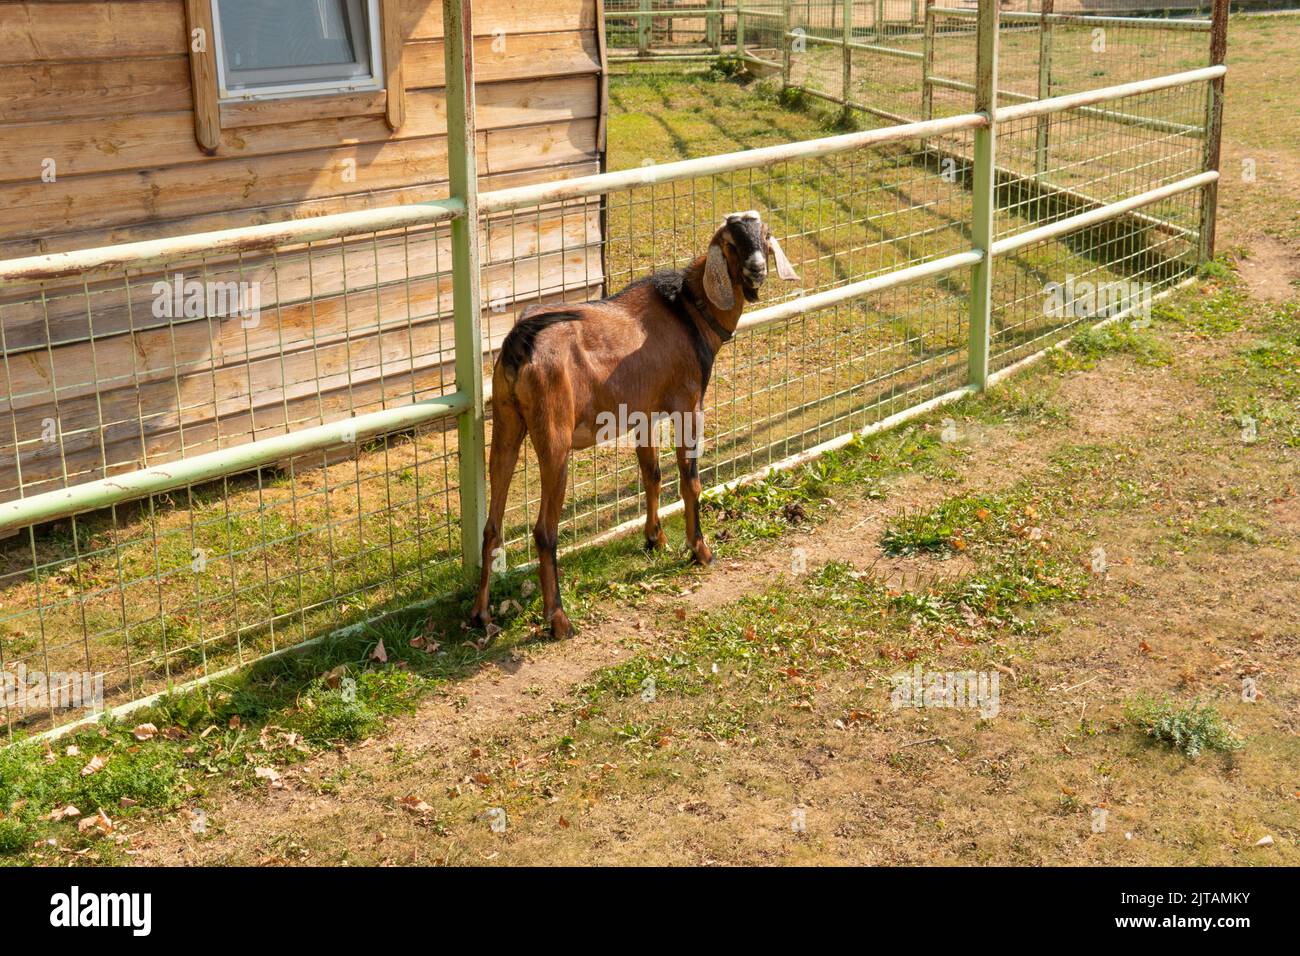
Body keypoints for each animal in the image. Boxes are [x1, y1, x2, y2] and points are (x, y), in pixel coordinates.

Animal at [470, 211, 800, 639]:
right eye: (730, 243)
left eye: (766, 235)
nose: (757, 268)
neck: (688, 312)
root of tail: (518, 343)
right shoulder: (688, 404)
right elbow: (689, 479)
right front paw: (700, 550)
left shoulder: (643, 412)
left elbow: (652, 474)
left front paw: (654, 539)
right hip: (553, 435)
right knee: (544, 530)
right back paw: (559, 620)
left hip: (507, 421)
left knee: (491, 525)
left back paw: (480, 614)